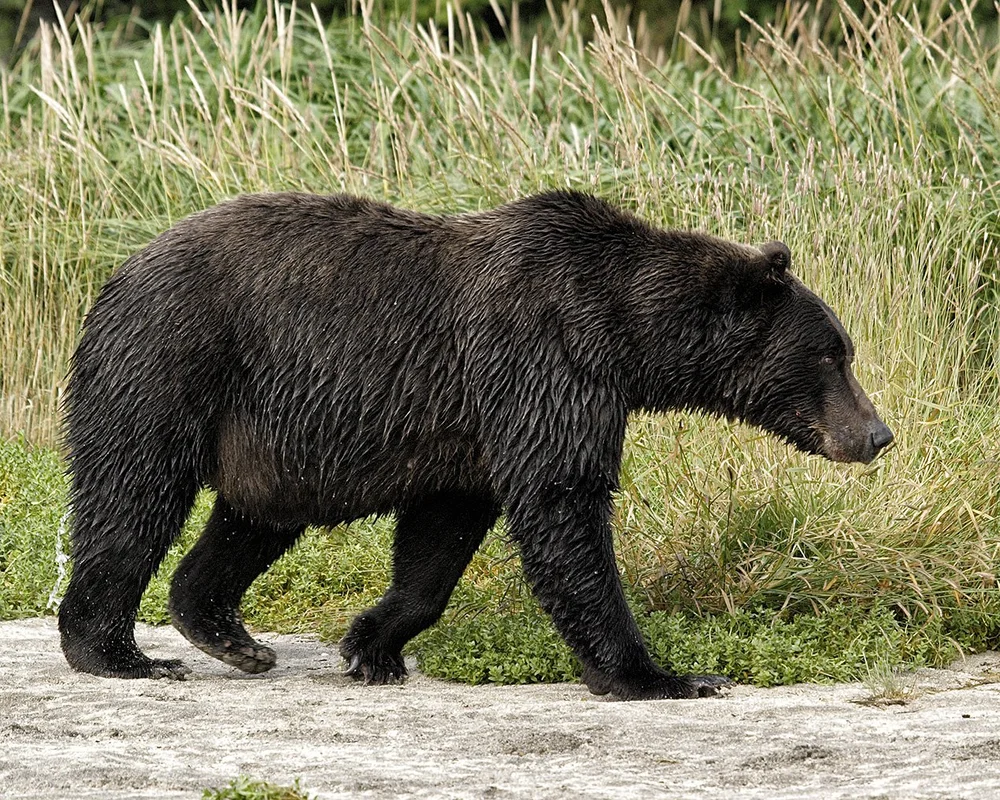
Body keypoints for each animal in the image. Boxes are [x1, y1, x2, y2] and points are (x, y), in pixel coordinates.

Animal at [58, 190, 893, 700]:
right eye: (834, 355)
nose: (878, 434)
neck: (622, 336)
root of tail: (118, 270)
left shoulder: (469, 428)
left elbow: (441, 535)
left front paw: (371, 646)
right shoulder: (541, 365)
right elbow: (563, 506)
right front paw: (660, 674)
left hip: (272, 437)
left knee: (253, 517)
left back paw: (228, 634)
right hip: (170, 362)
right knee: (133, 497)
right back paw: (119, 652)